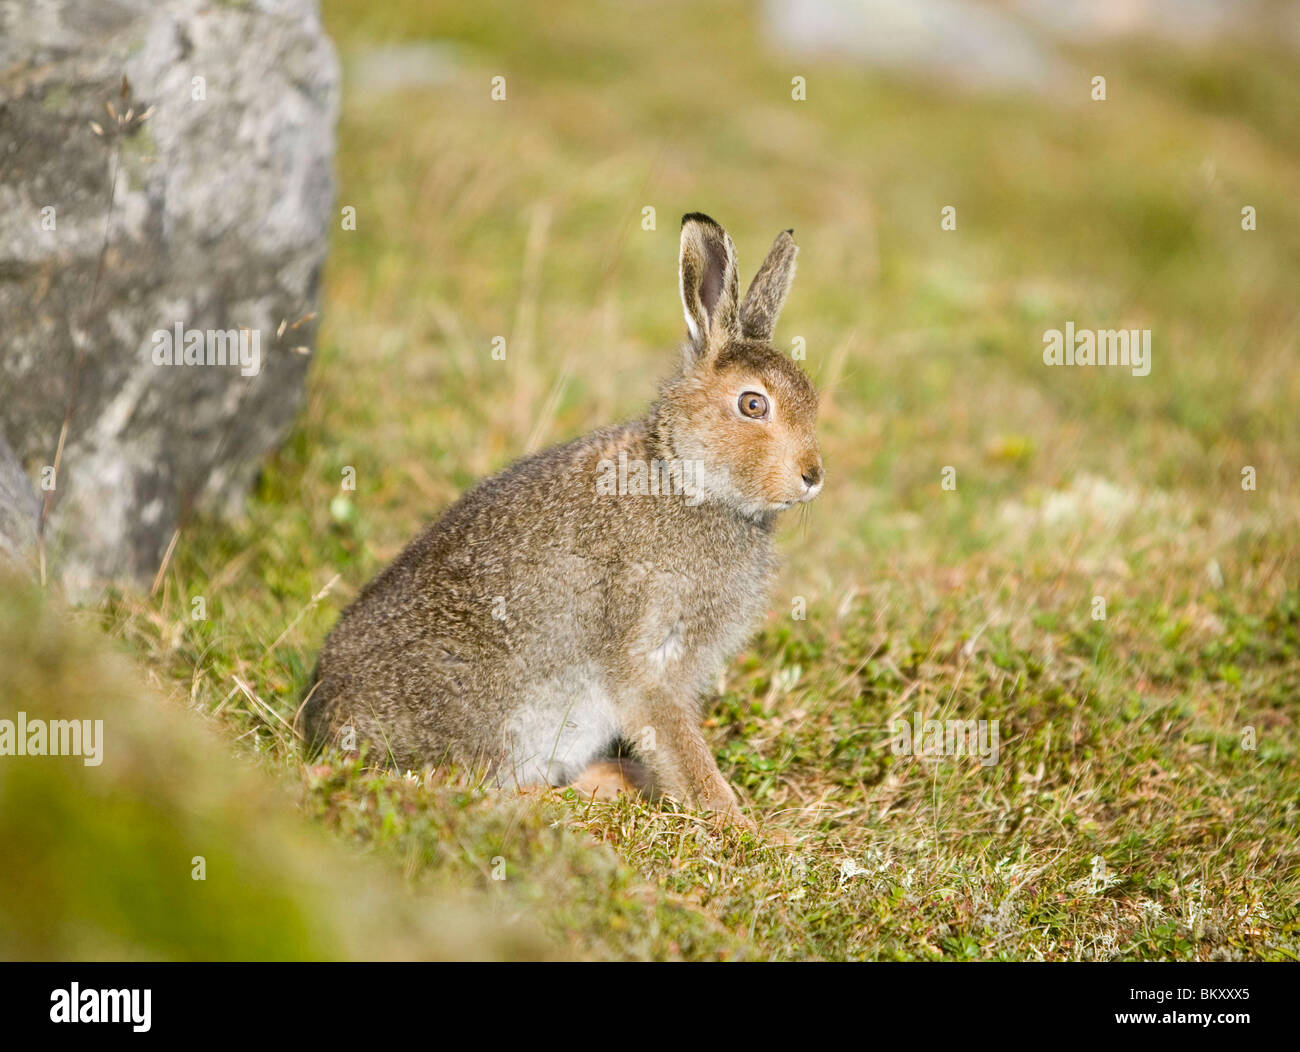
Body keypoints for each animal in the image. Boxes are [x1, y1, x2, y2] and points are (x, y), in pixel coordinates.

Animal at [302, 212, 823, 829]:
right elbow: (675, 740)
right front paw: (734, 820)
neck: (685, 478)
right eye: (752, 405)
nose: (813, 475)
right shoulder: (646, 654)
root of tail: (328, 727)